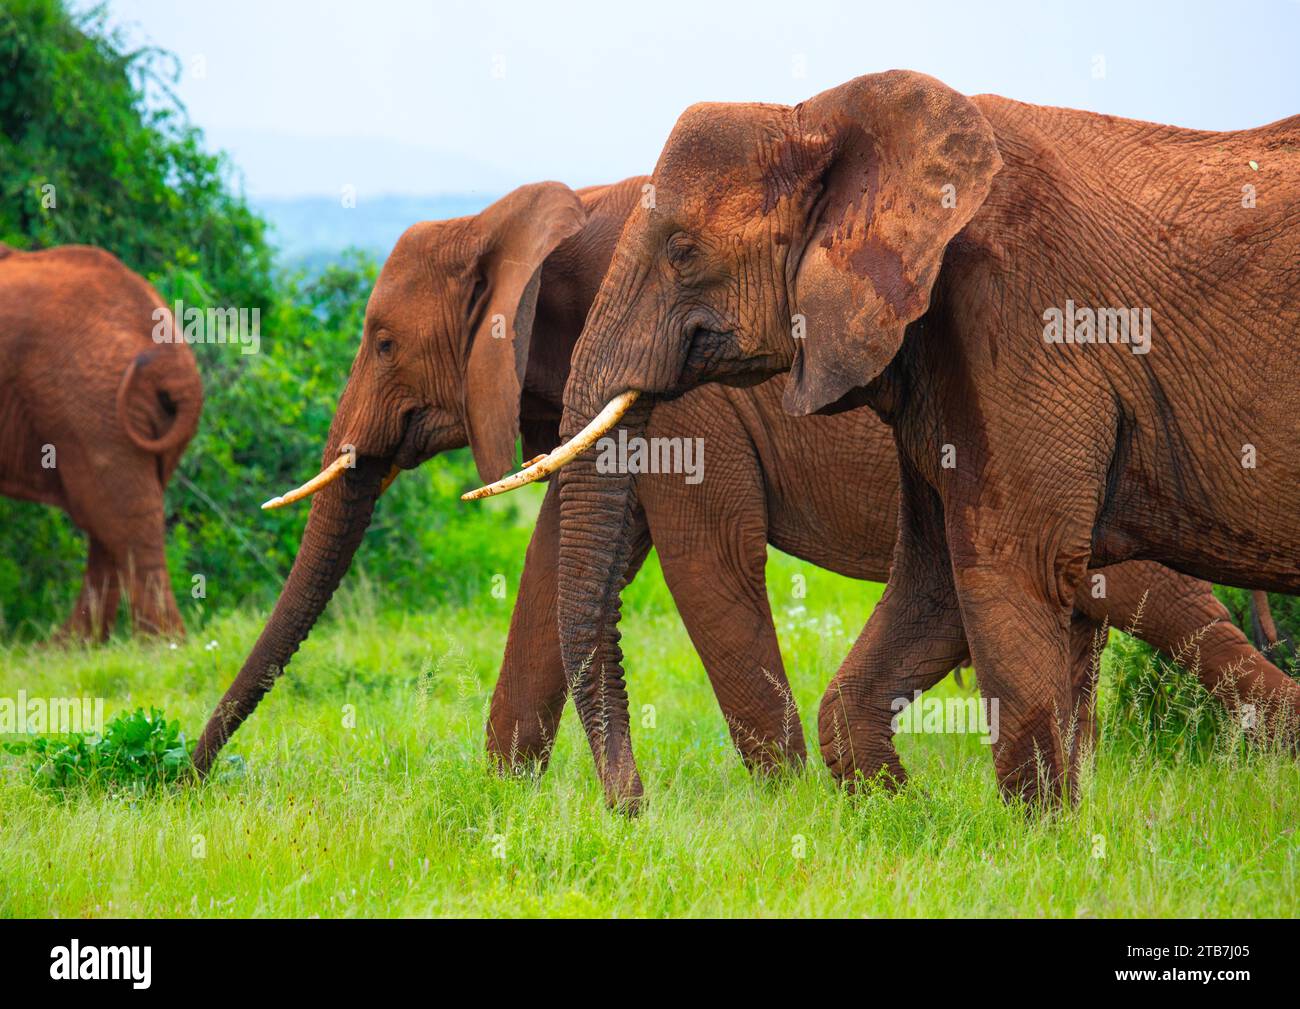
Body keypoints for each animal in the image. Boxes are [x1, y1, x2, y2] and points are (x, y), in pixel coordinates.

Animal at [469, 70, 1300, 807]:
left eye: (682, 249)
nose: (631, 805)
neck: (821, 114)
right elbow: (934, 577)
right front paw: (900, 814)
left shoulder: (1020, 316)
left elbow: (1006, 563)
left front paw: (1045, 845)